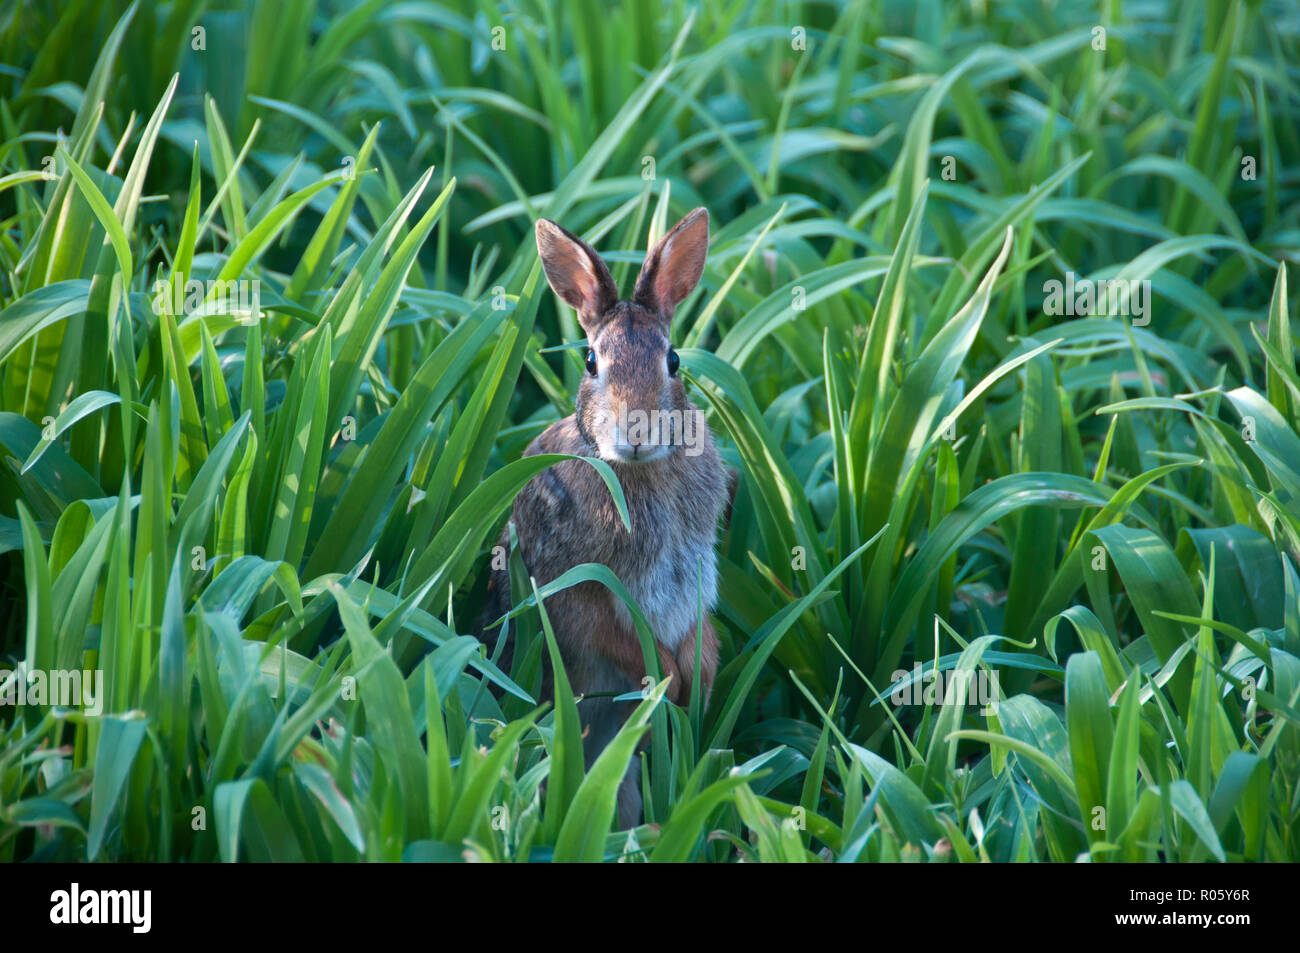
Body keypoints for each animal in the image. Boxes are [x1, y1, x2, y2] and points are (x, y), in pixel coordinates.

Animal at [480, 207, 728, 828]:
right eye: (592, 360)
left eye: (673, 360)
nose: (635, 431)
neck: (638, 471)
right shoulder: (578, 592)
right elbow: (618, 638)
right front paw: (668, 679)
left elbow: (700, 634)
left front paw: (698, 676)